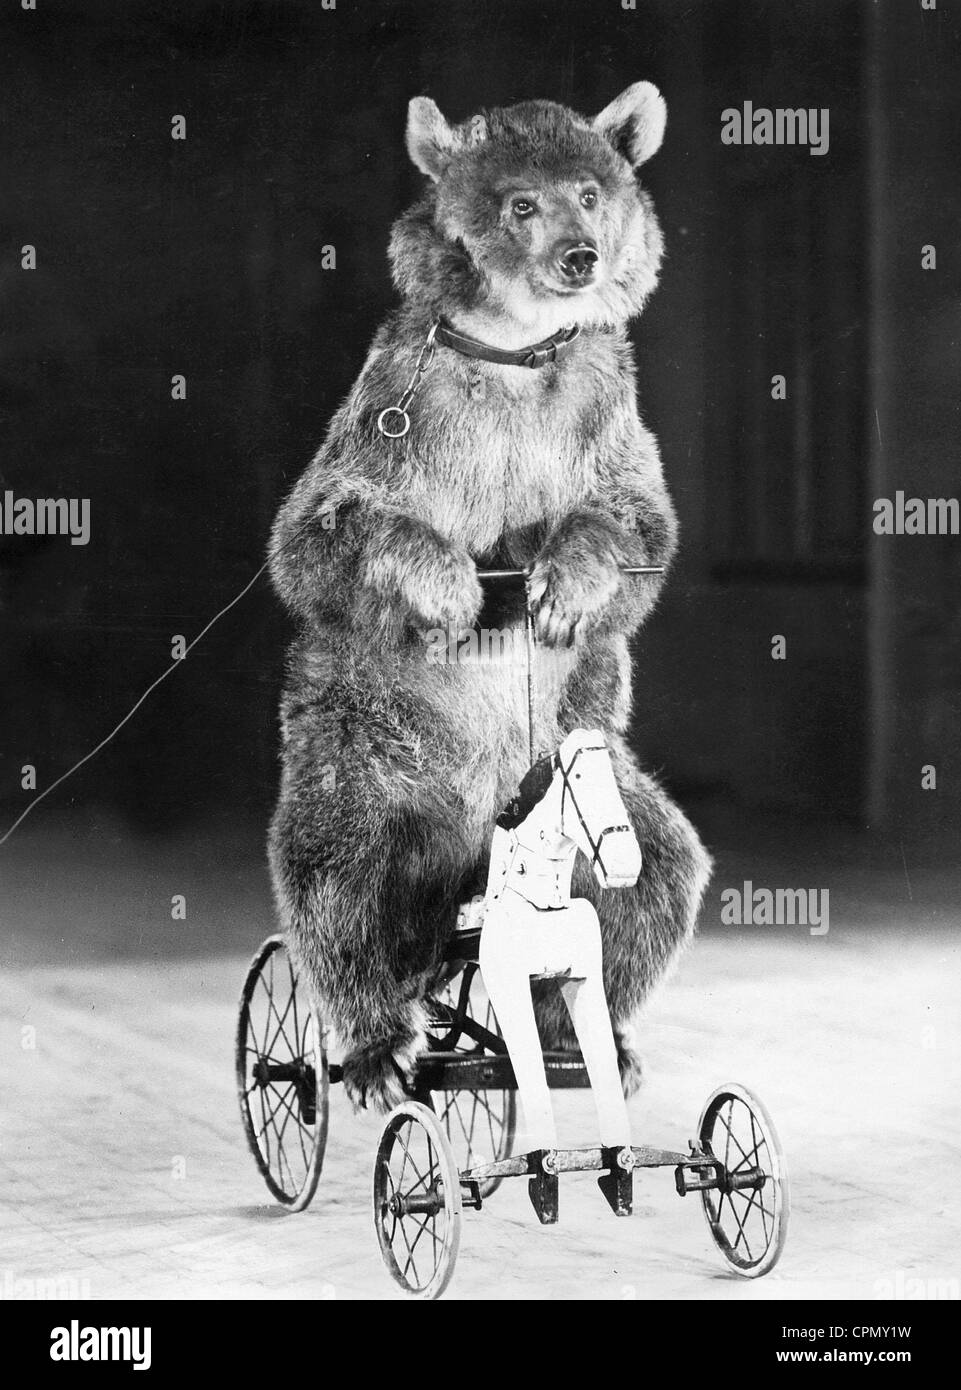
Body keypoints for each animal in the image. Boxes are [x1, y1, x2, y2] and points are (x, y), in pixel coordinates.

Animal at [267, 81, 712, 1114]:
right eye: (520, 203)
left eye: (589, 192)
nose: (579, 255)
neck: (514, 351)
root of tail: (470, 858)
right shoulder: (398, 409)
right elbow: (318, 537)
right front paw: (445, 584)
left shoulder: (601, 409)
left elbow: (640, 530)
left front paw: (566, 581)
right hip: (368, 759)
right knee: (336, 880)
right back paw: (377, 1045)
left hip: (603, 789)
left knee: (658, 881)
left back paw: (589, 1035)